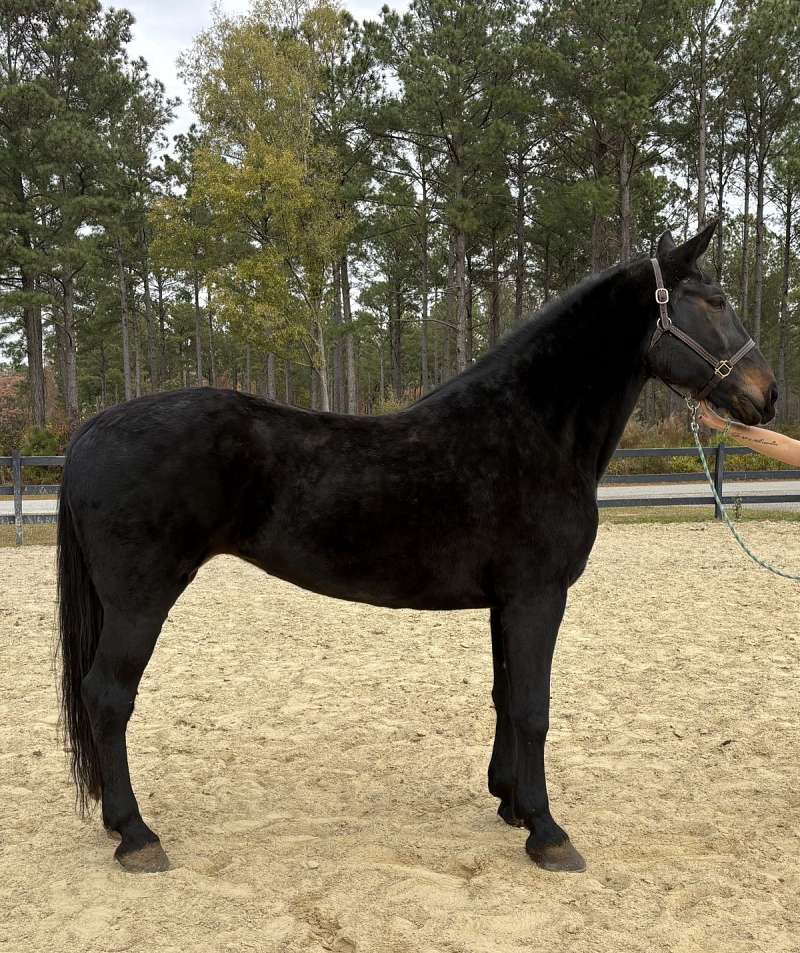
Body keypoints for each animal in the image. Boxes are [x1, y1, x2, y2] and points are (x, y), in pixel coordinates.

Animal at [56, 220, 777, 874]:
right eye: (714, 301)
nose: (766, 396)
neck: (534, 428)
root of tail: (93, 429)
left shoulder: (506, 602)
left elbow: (504, 696)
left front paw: (510, 802)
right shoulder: (538, 595)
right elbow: (533, 707)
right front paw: (547, 832)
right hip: (140, 601)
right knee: (108, 696)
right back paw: (136, 835)